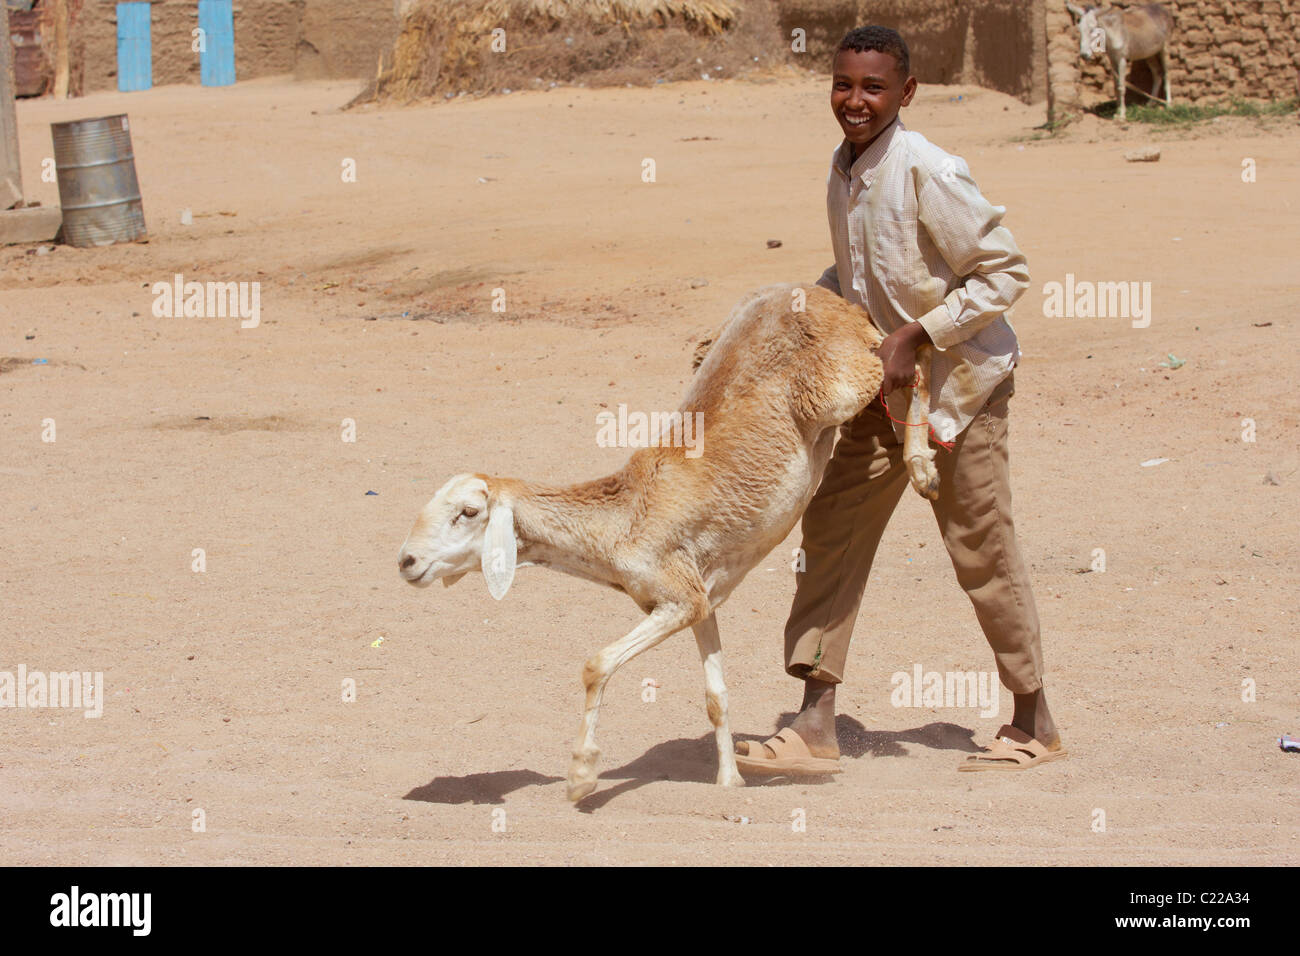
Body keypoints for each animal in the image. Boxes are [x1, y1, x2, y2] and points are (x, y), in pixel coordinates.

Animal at [398, 283, 938, 801]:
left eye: (468, 512)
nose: (406, 561)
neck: (623, 520)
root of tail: (835, 301)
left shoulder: (678, 598)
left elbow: (596, 665)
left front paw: (580, 777)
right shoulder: (702, 600)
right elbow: (716, 697)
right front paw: (730, 781)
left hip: (842, 382)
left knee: (912, 361)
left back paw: (923, 467)